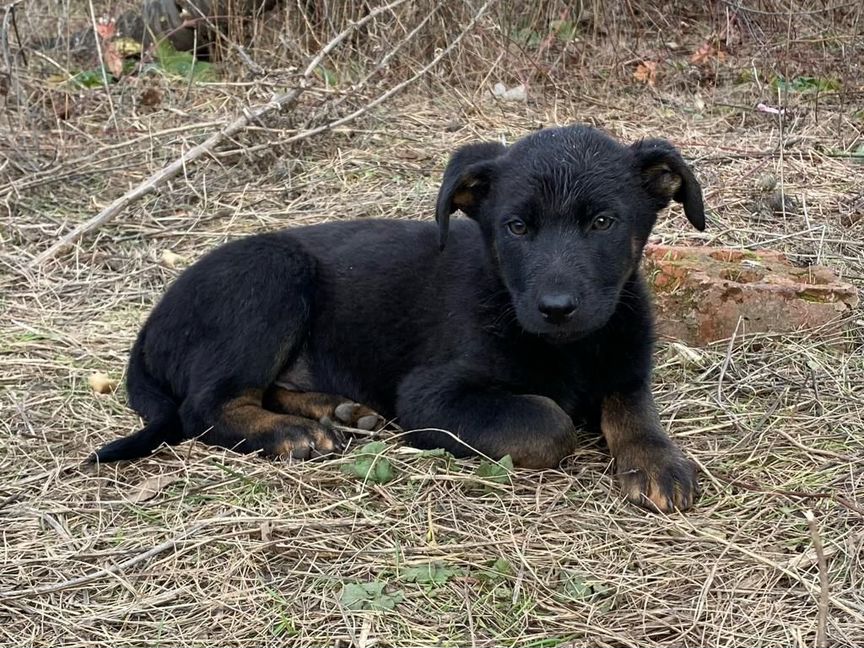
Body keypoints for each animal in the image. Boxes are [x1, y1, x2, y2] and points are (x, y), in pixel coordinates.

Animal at [93, 125, 704, 512]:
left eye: (603, 222)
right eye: (516, 227)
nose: (556, 308)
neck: (569, 346)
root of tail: (151, 324)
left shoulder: (627, 366)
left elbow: (633, 409)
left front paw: (657, 461)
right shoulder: (431, 396)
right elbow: (549, 422)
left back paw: (335, 408)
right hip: (271, 276)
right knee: (205, 406)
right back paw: (293, 431)